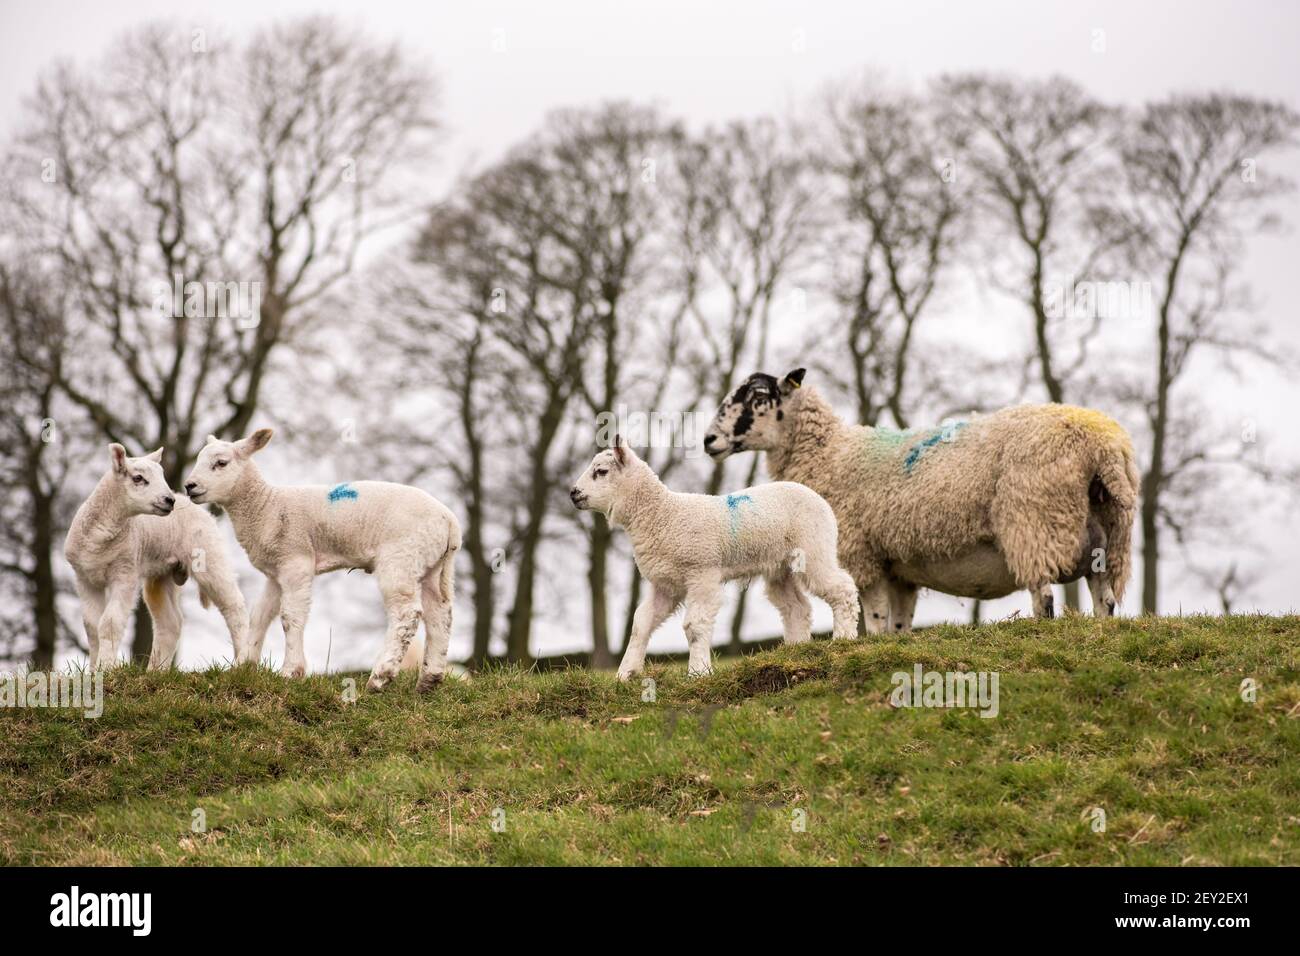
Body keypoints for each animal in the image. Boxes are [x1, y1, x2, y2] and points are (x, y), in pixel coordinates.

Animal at [65, 445, 249, 669]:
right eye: (138, 478)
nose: (169, 500)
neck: (100, 539)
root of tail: (195, 506)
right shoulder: (84, 578)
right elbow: (91, 626)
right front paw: (93, 670)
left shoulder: (125, 573)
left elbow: (109, 623)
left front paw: (105, 668)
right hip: (161, 574)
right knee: (170, 623)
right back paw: (155, 670)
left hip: (209, 556)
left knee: (235, 607)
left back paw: (243, 663)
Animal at [183, 429, 461, 692]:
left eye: (221, 463)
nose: (189, 486)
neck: (266, 506)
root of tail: (449, 521)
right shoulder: (276, 572)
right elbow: (260, 615)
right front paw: (243, 666)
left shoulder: (296, 559)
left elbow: (290, 617)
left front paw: (291, 672)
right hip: (431, 565)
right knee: (440, 614)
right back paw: (429, 680)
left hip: (401, 557)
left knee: (407, 614)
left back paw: (381, 676)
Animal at [569, 436, 859, 681]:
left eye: (601, 471)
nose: (573, 493)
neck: (662, 515)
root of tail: (816, 496)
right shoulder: (666, 584)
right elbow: (641, 623)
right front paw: (625, 675)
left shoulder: (702, 572)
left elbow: (694, 625)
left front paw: (698, 672)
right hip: (780, 567)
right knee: (797, 608)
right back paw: (796, 650)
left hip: (815, 549)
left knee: (842, 588)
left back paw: (843, 638)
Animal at [702, 369, 1139, 630]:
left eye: (758, 397)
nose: (708, 440)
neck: (829, 453)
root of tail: (1103, 444)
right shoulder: (900, 570)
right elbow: (899, 624)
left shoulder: (863, 554)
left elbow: (874, 618)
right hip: (1107, 535)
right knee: (1105, 600)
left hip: (1035, 521)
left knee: (1044, 596)